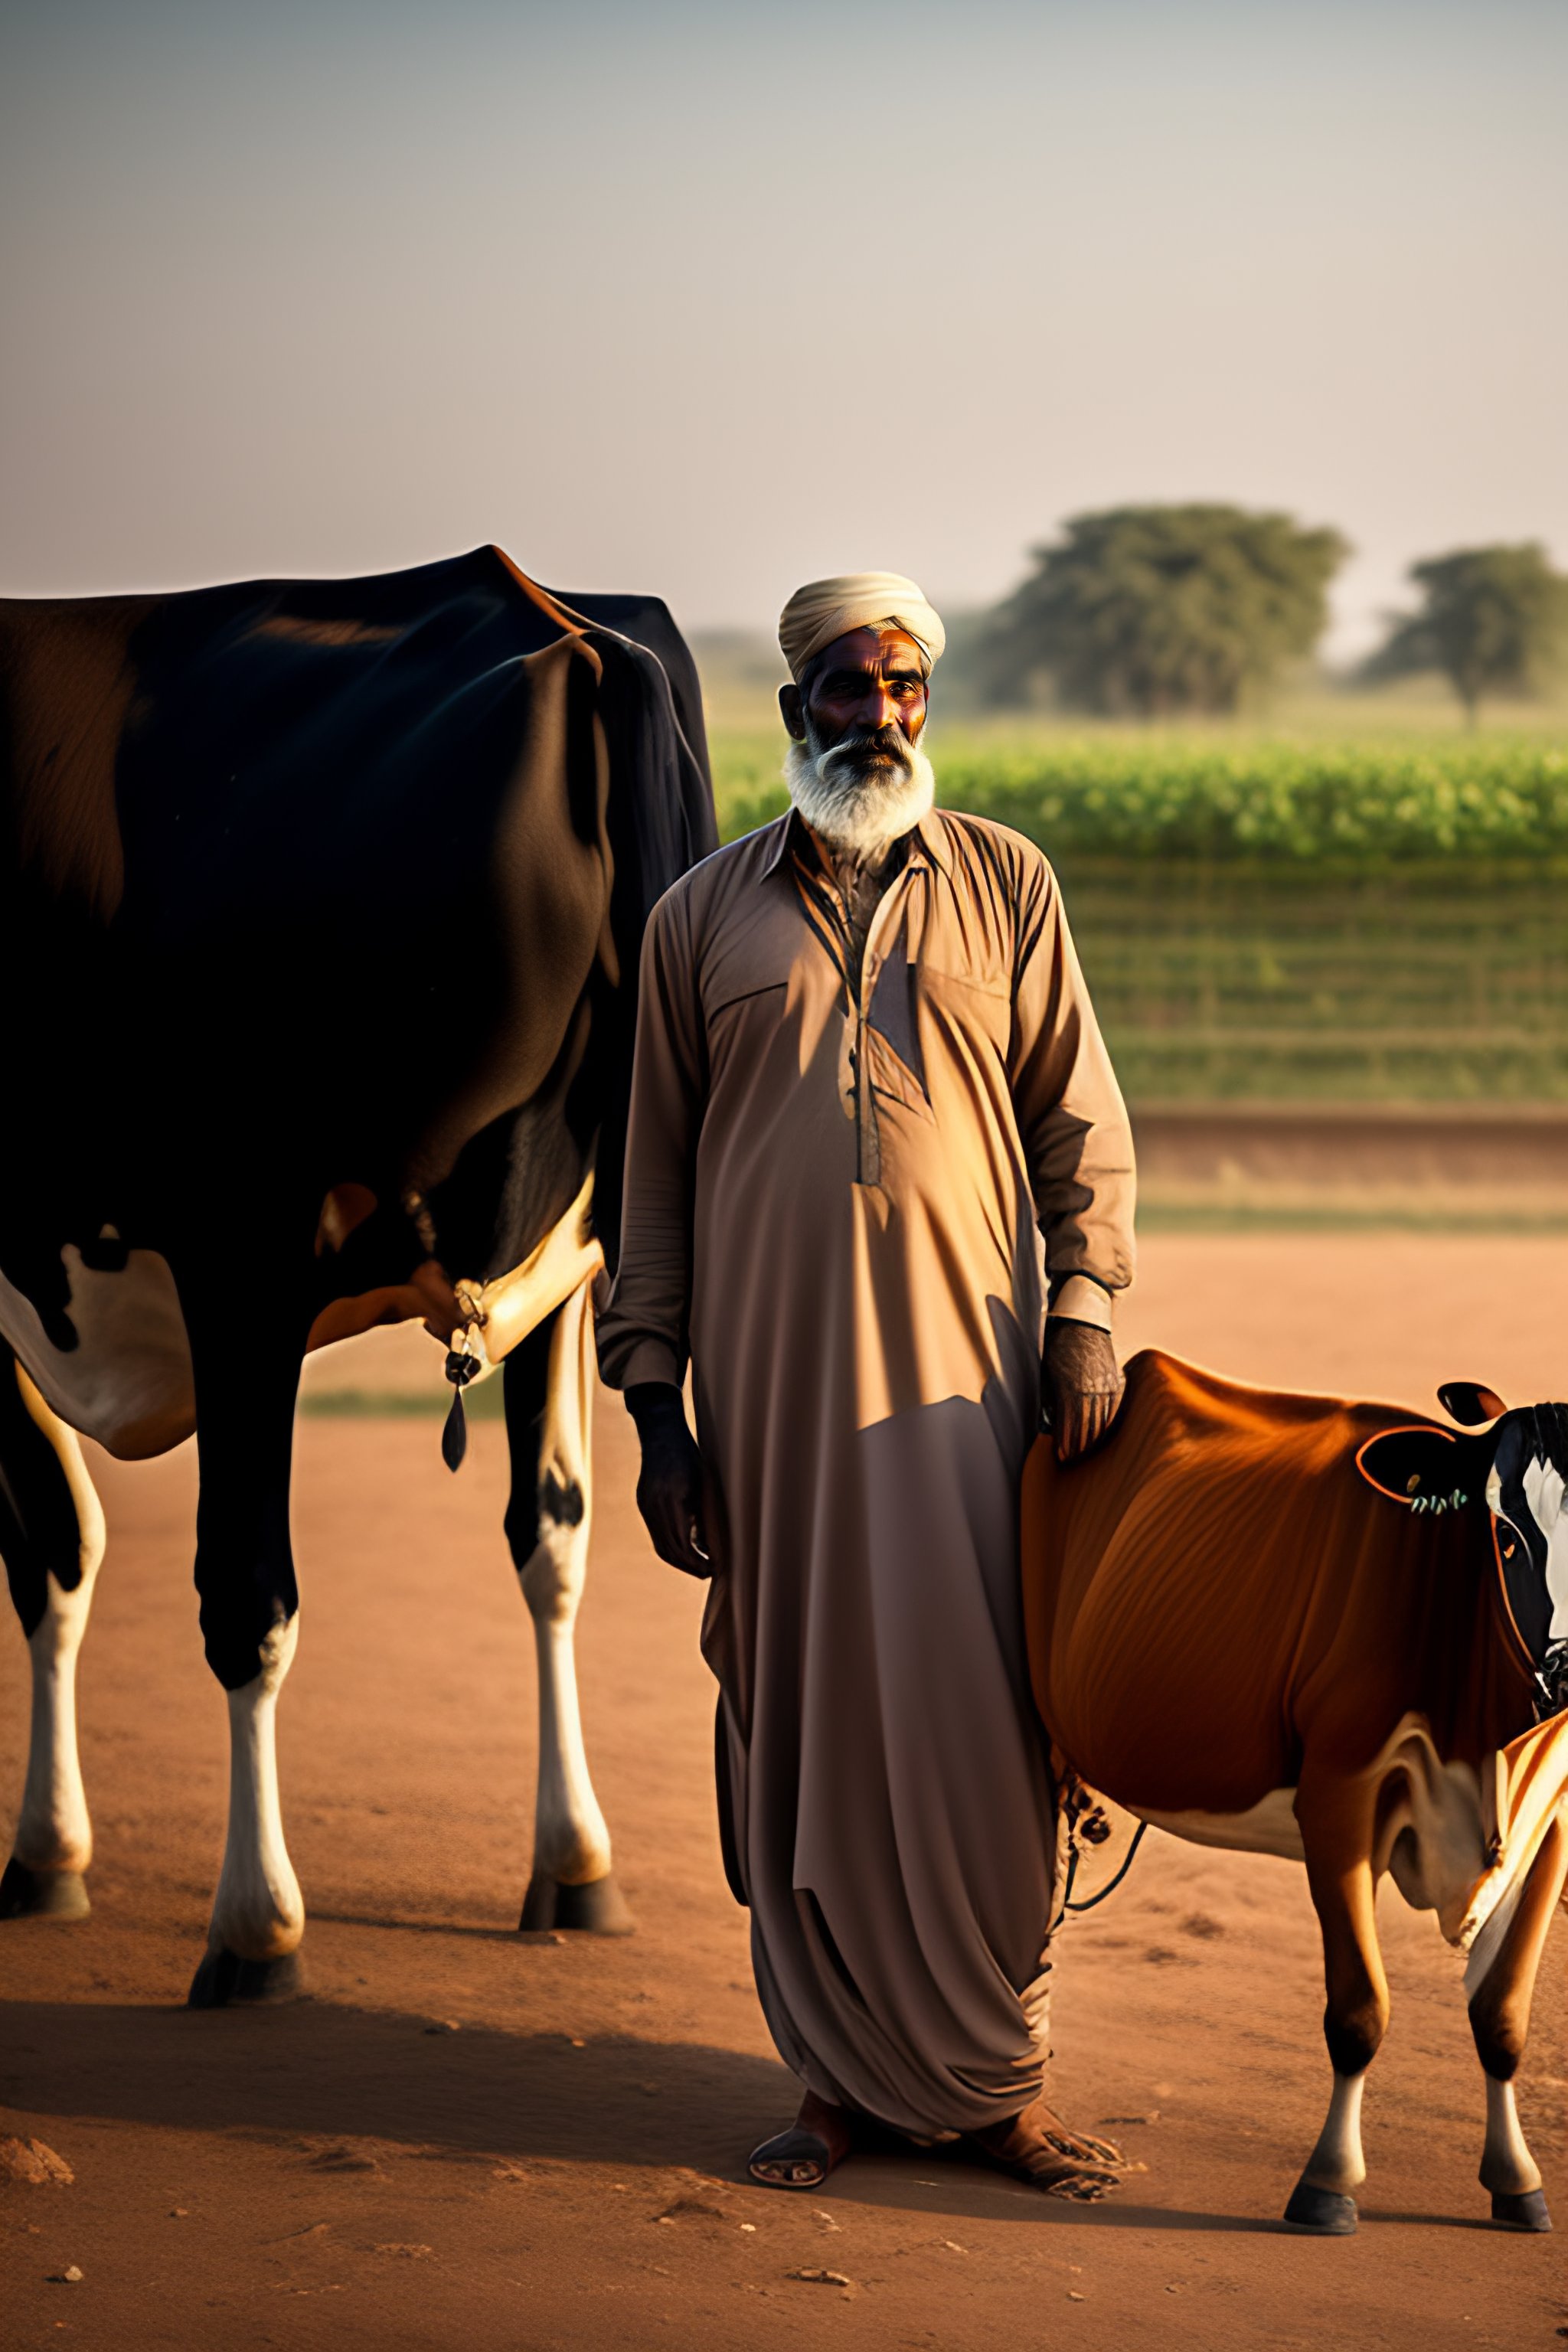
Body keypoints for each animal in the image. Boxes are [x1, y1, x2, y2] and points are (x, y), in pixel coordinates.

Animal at [0, 547, 717, 2002]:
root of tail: (565, 627)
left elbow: (70, 1545)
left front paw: (70, 1862)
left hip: (252, 1252)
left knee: (247, 1591)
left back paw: (252, 1926)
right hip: (573, 1252)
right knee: (554, 1533)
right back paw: (575, 1865)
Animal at [1023, 1349, 1568, 2235]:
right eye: (1507, 1534)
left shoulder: (1549, 1826)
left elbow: (1502, 2015)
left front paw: (1516, 2184)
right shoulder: (1338, 1793)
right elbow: (1358, 2009)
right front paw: (1327, 2184)